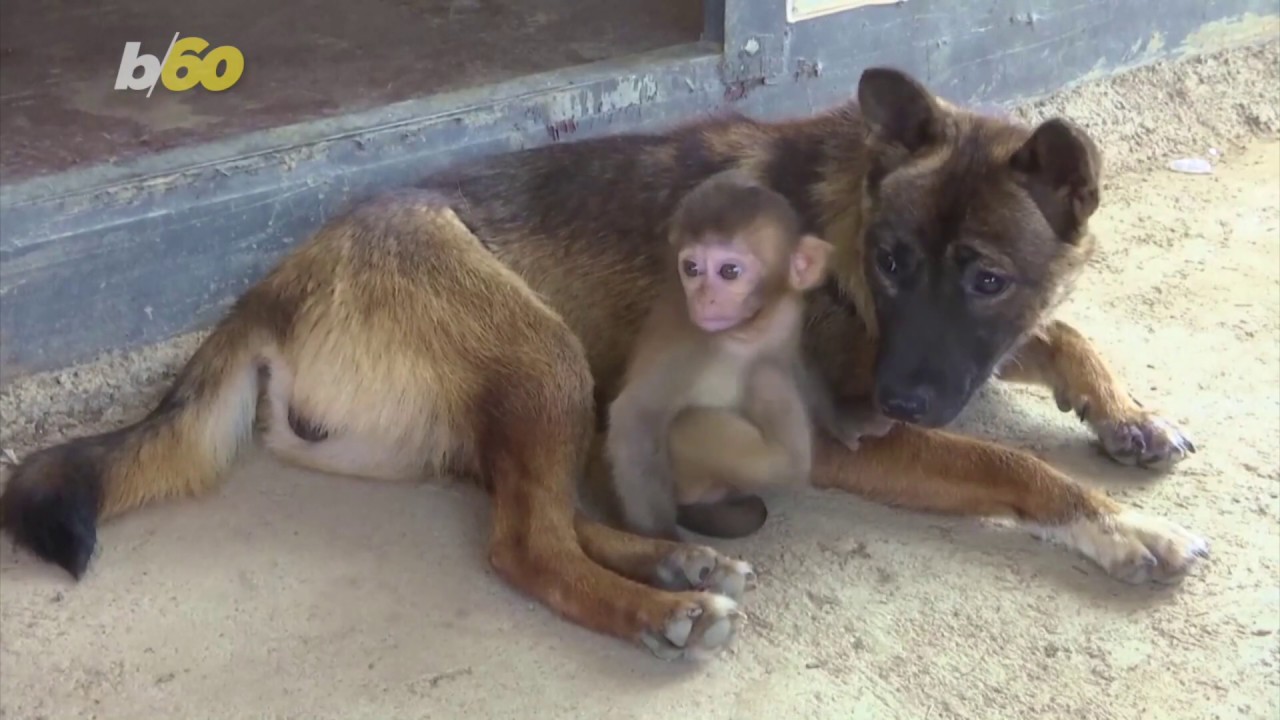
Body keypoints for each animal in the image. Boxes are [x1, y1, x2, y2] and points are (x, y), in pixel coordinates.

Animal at [604, 170, 895, 541]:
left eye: (729, 271)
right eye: (691, 268)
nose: (704, 299)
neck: (753, 326)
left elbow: (794, 361)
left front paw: (844, 420)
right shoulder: (691, 346)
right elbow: (636, 416)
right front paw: (663, 541)